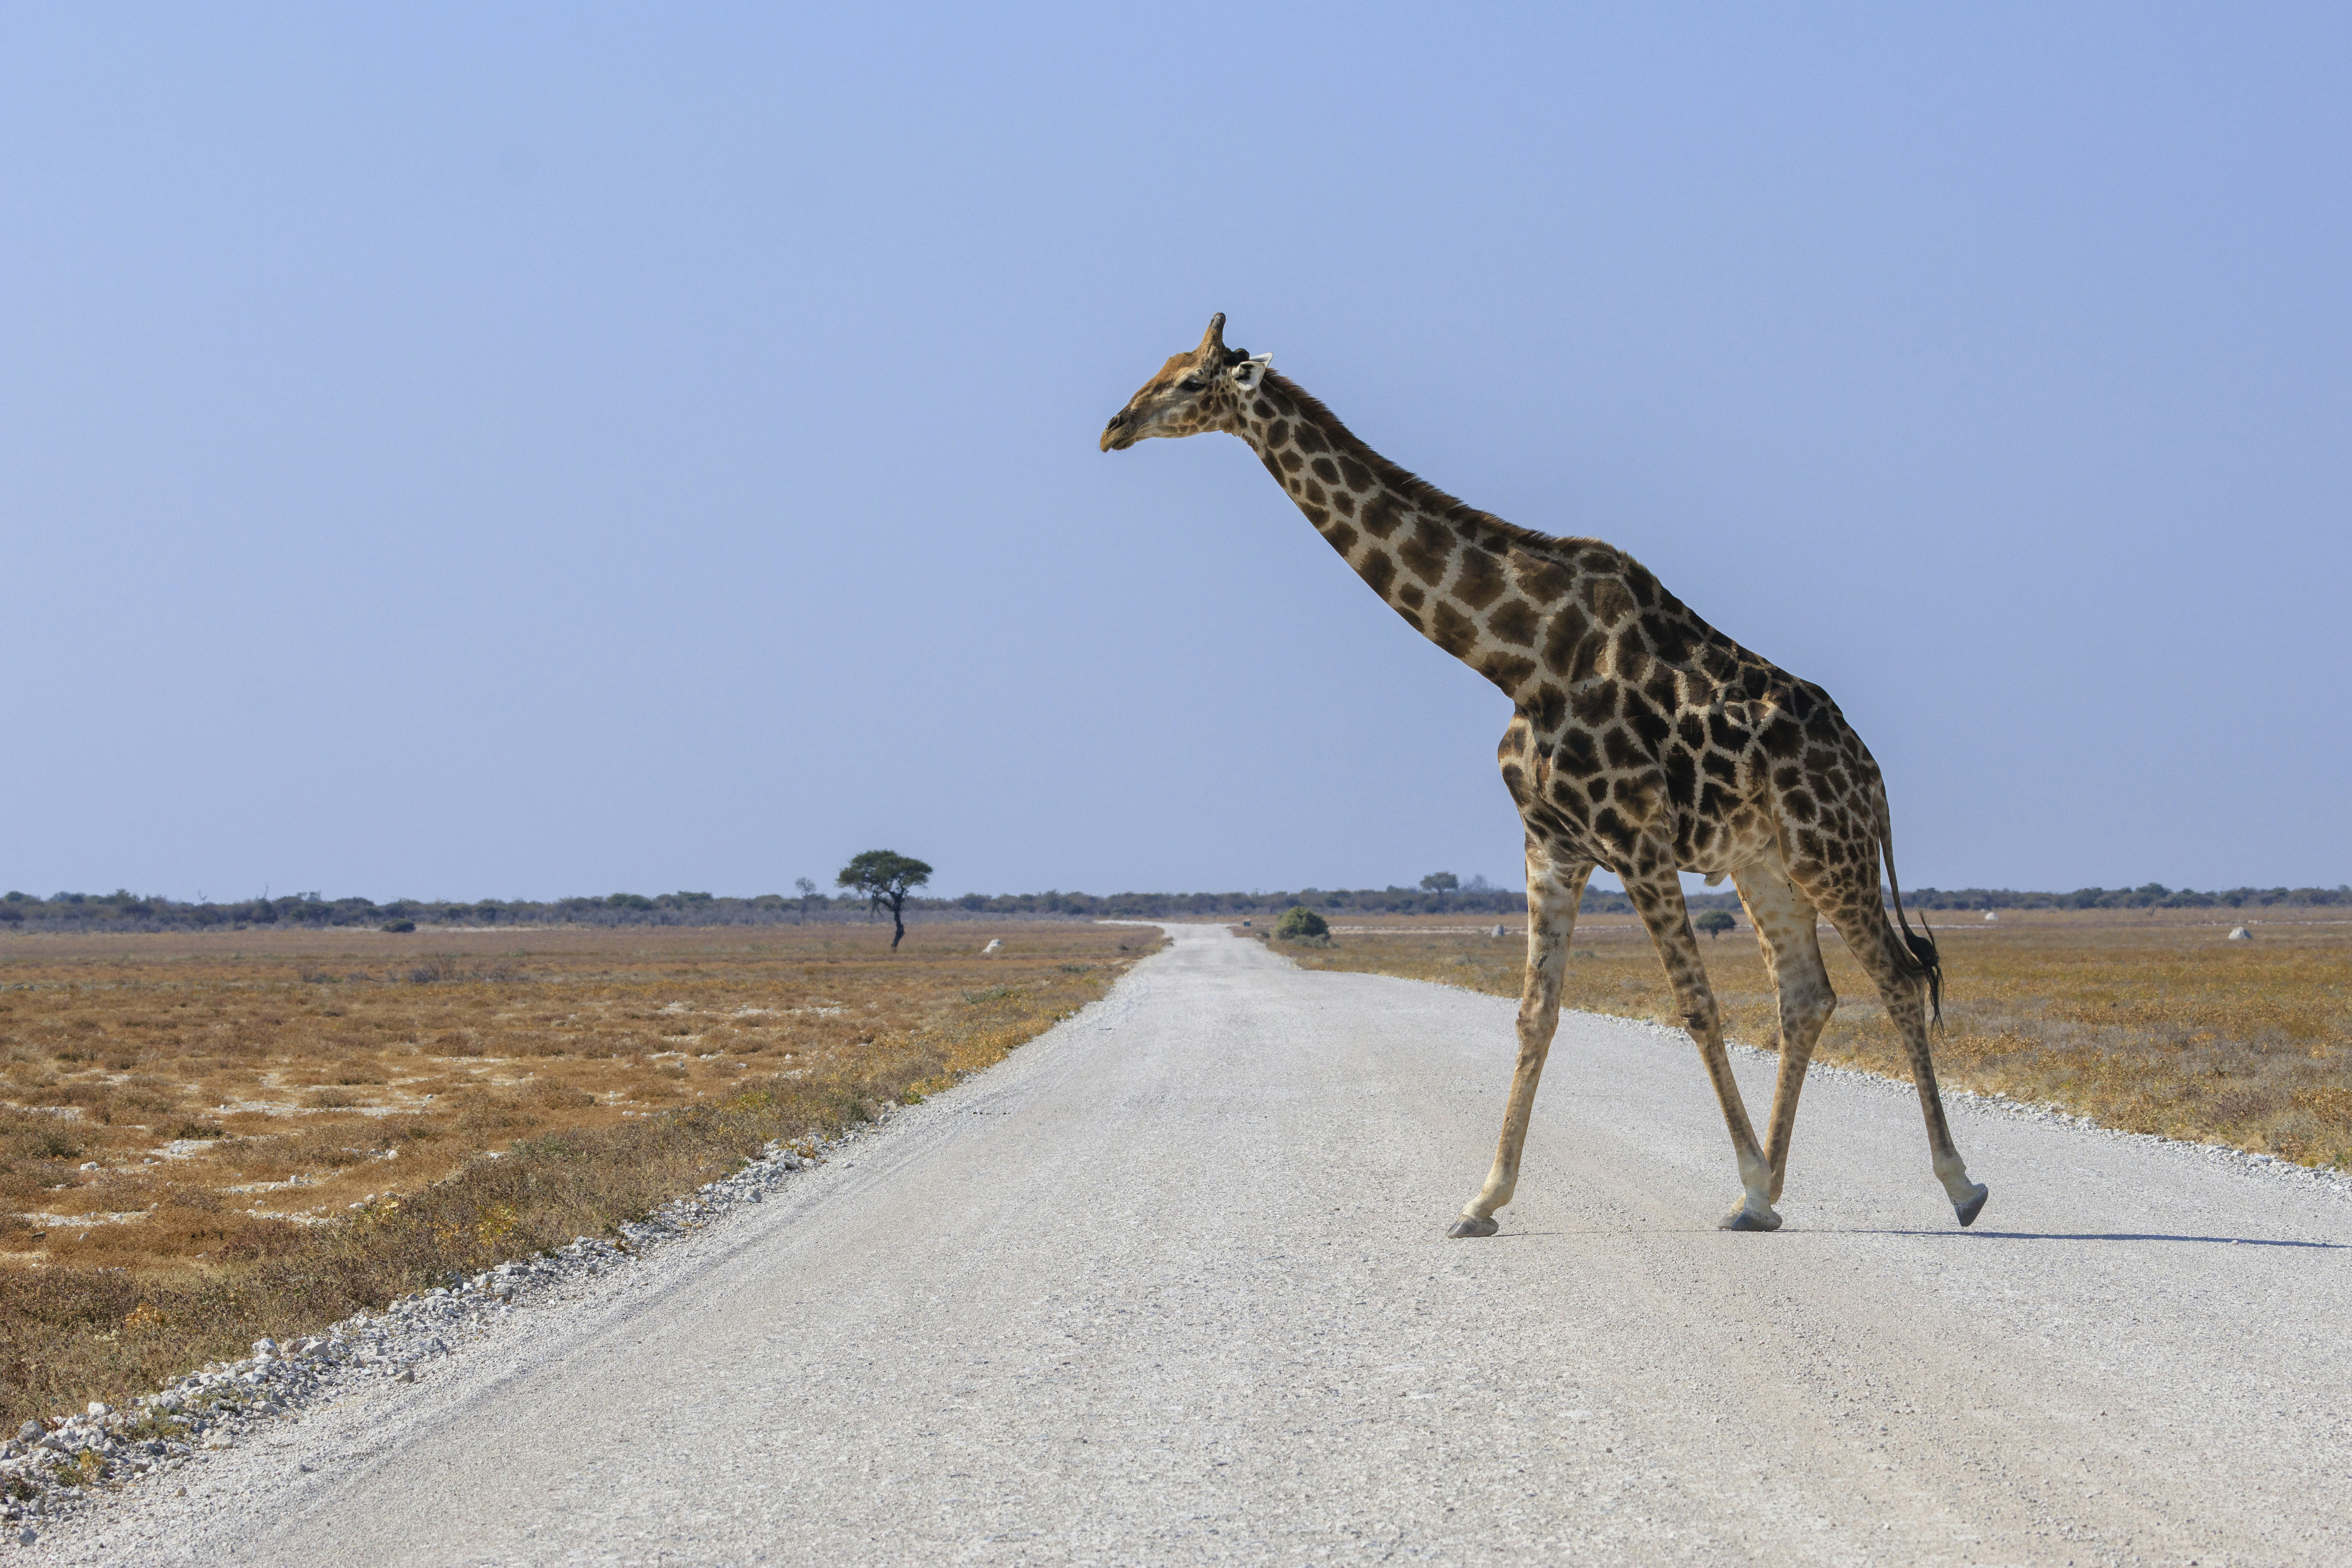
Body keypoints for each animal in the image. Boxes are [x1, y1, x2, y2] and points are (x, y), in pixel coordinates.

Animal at [1102, 315, 1988, 1236]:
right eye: (1164, 368)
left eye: (1189, 381)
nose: (1114, 427)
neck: (1517, 657)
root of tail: (1871, 770)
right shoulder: (1549, 844)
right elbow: (1535, 1014)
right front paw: (1484, 1198)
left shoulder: (1636, 839)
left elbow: (1695, 1005)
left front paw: (1741, 1173)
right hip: (1764, 863)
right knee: (1806, 996)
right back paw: (1765, 1200)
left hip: (1828, 847)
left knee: (1897, 976)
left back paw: (1953, 1183)